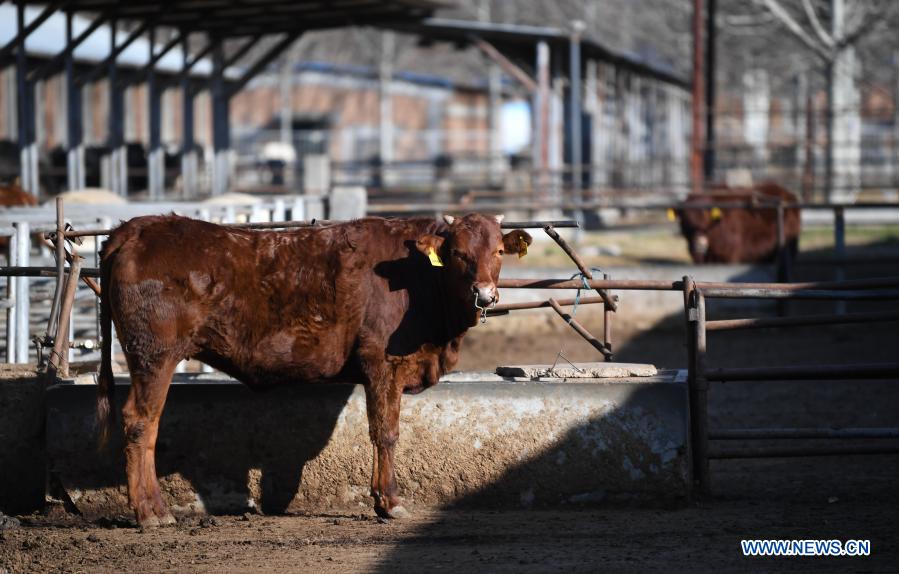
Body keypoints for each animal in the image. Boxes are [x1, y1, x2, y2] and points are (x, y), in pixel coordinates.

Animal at [96, 213, 532, 527]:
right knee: (141, 423)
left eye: (498, 251)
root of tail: (136, 228)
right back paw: (151, 512)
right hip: (154, 355)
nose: (485, 294)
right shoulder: (382, 365)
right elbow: (386, 433)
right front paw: (389, 502)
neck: (419, 280)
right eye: (458, 253)